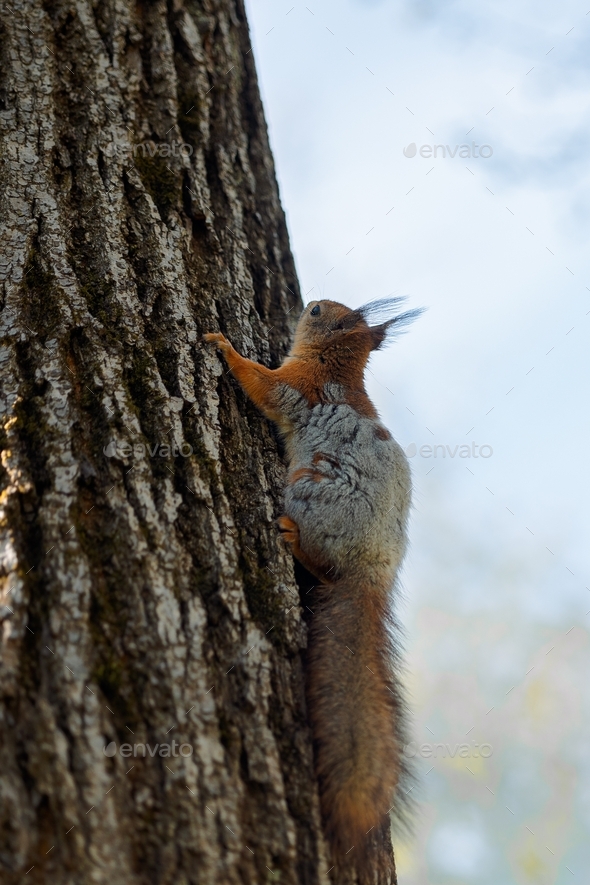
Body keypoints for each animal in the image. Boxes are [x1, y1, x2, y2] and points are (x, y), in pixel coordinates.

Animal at [205, 296, 421, 877]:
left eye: (326, 315)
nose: (312, 302)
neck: (335, 369)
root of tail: (372, 572)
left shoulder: (294, 386)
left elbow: (259, 383)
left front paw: (223, 346)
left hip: (309, 490)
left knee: (322, 567)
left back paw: (291, 538)